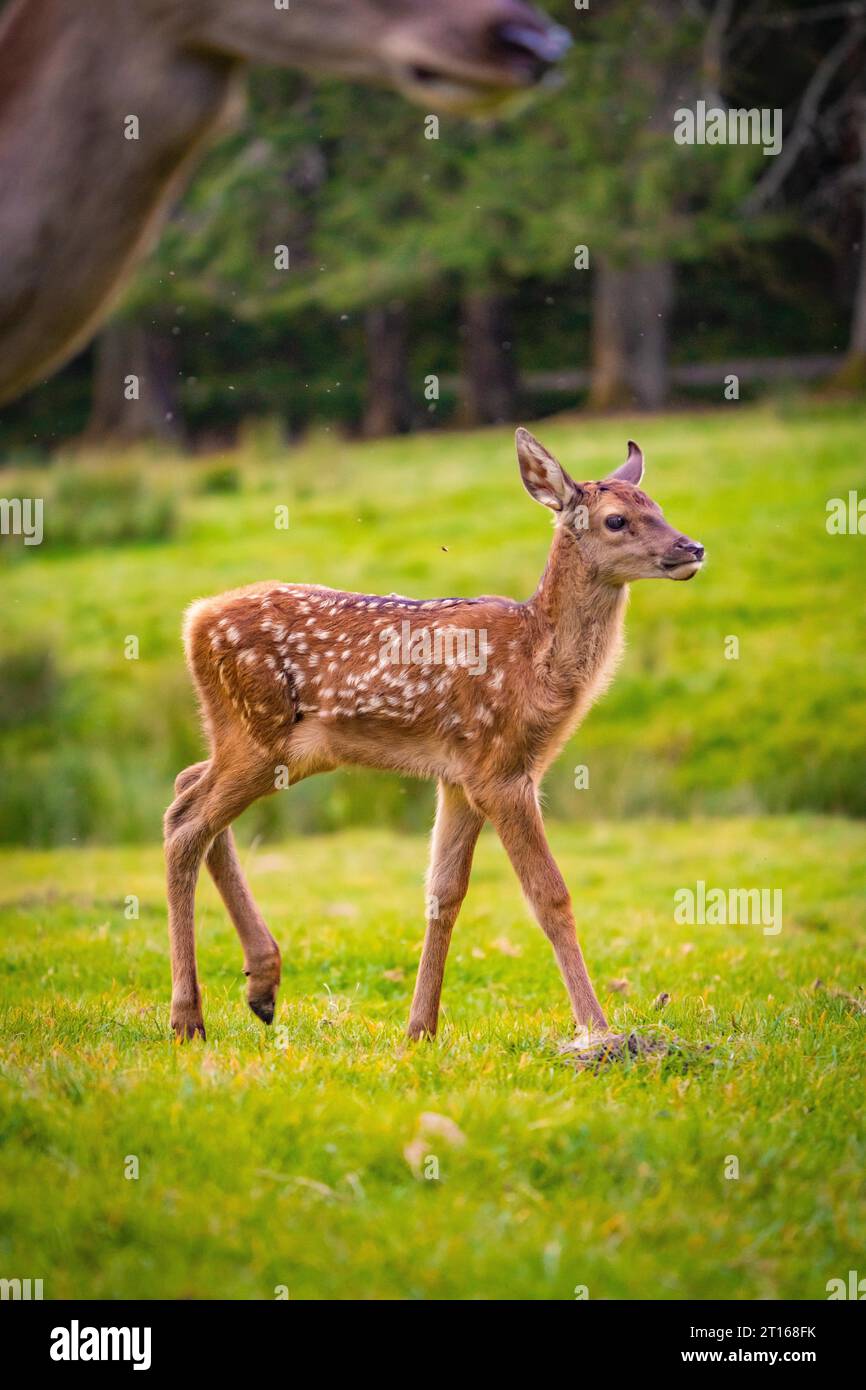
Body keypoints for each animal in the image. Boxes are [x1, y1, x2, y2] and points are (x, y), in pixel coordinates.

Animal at [166, 429, 705, 1054]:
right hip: (258, 733)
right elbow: (549, 895)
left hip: (266, 744)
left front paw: (420, 1028)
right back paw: (188, 1018)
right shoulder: (502, 771)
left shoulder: (458, 776)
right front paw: (599, 1030)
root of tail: (193, 620)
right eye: (617, 520)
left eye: (658, 507)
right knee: (185, 822)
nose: (693, 548)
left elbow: (444, 893)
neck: (538, 662)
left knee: (187, 787)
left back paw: (262, 986)